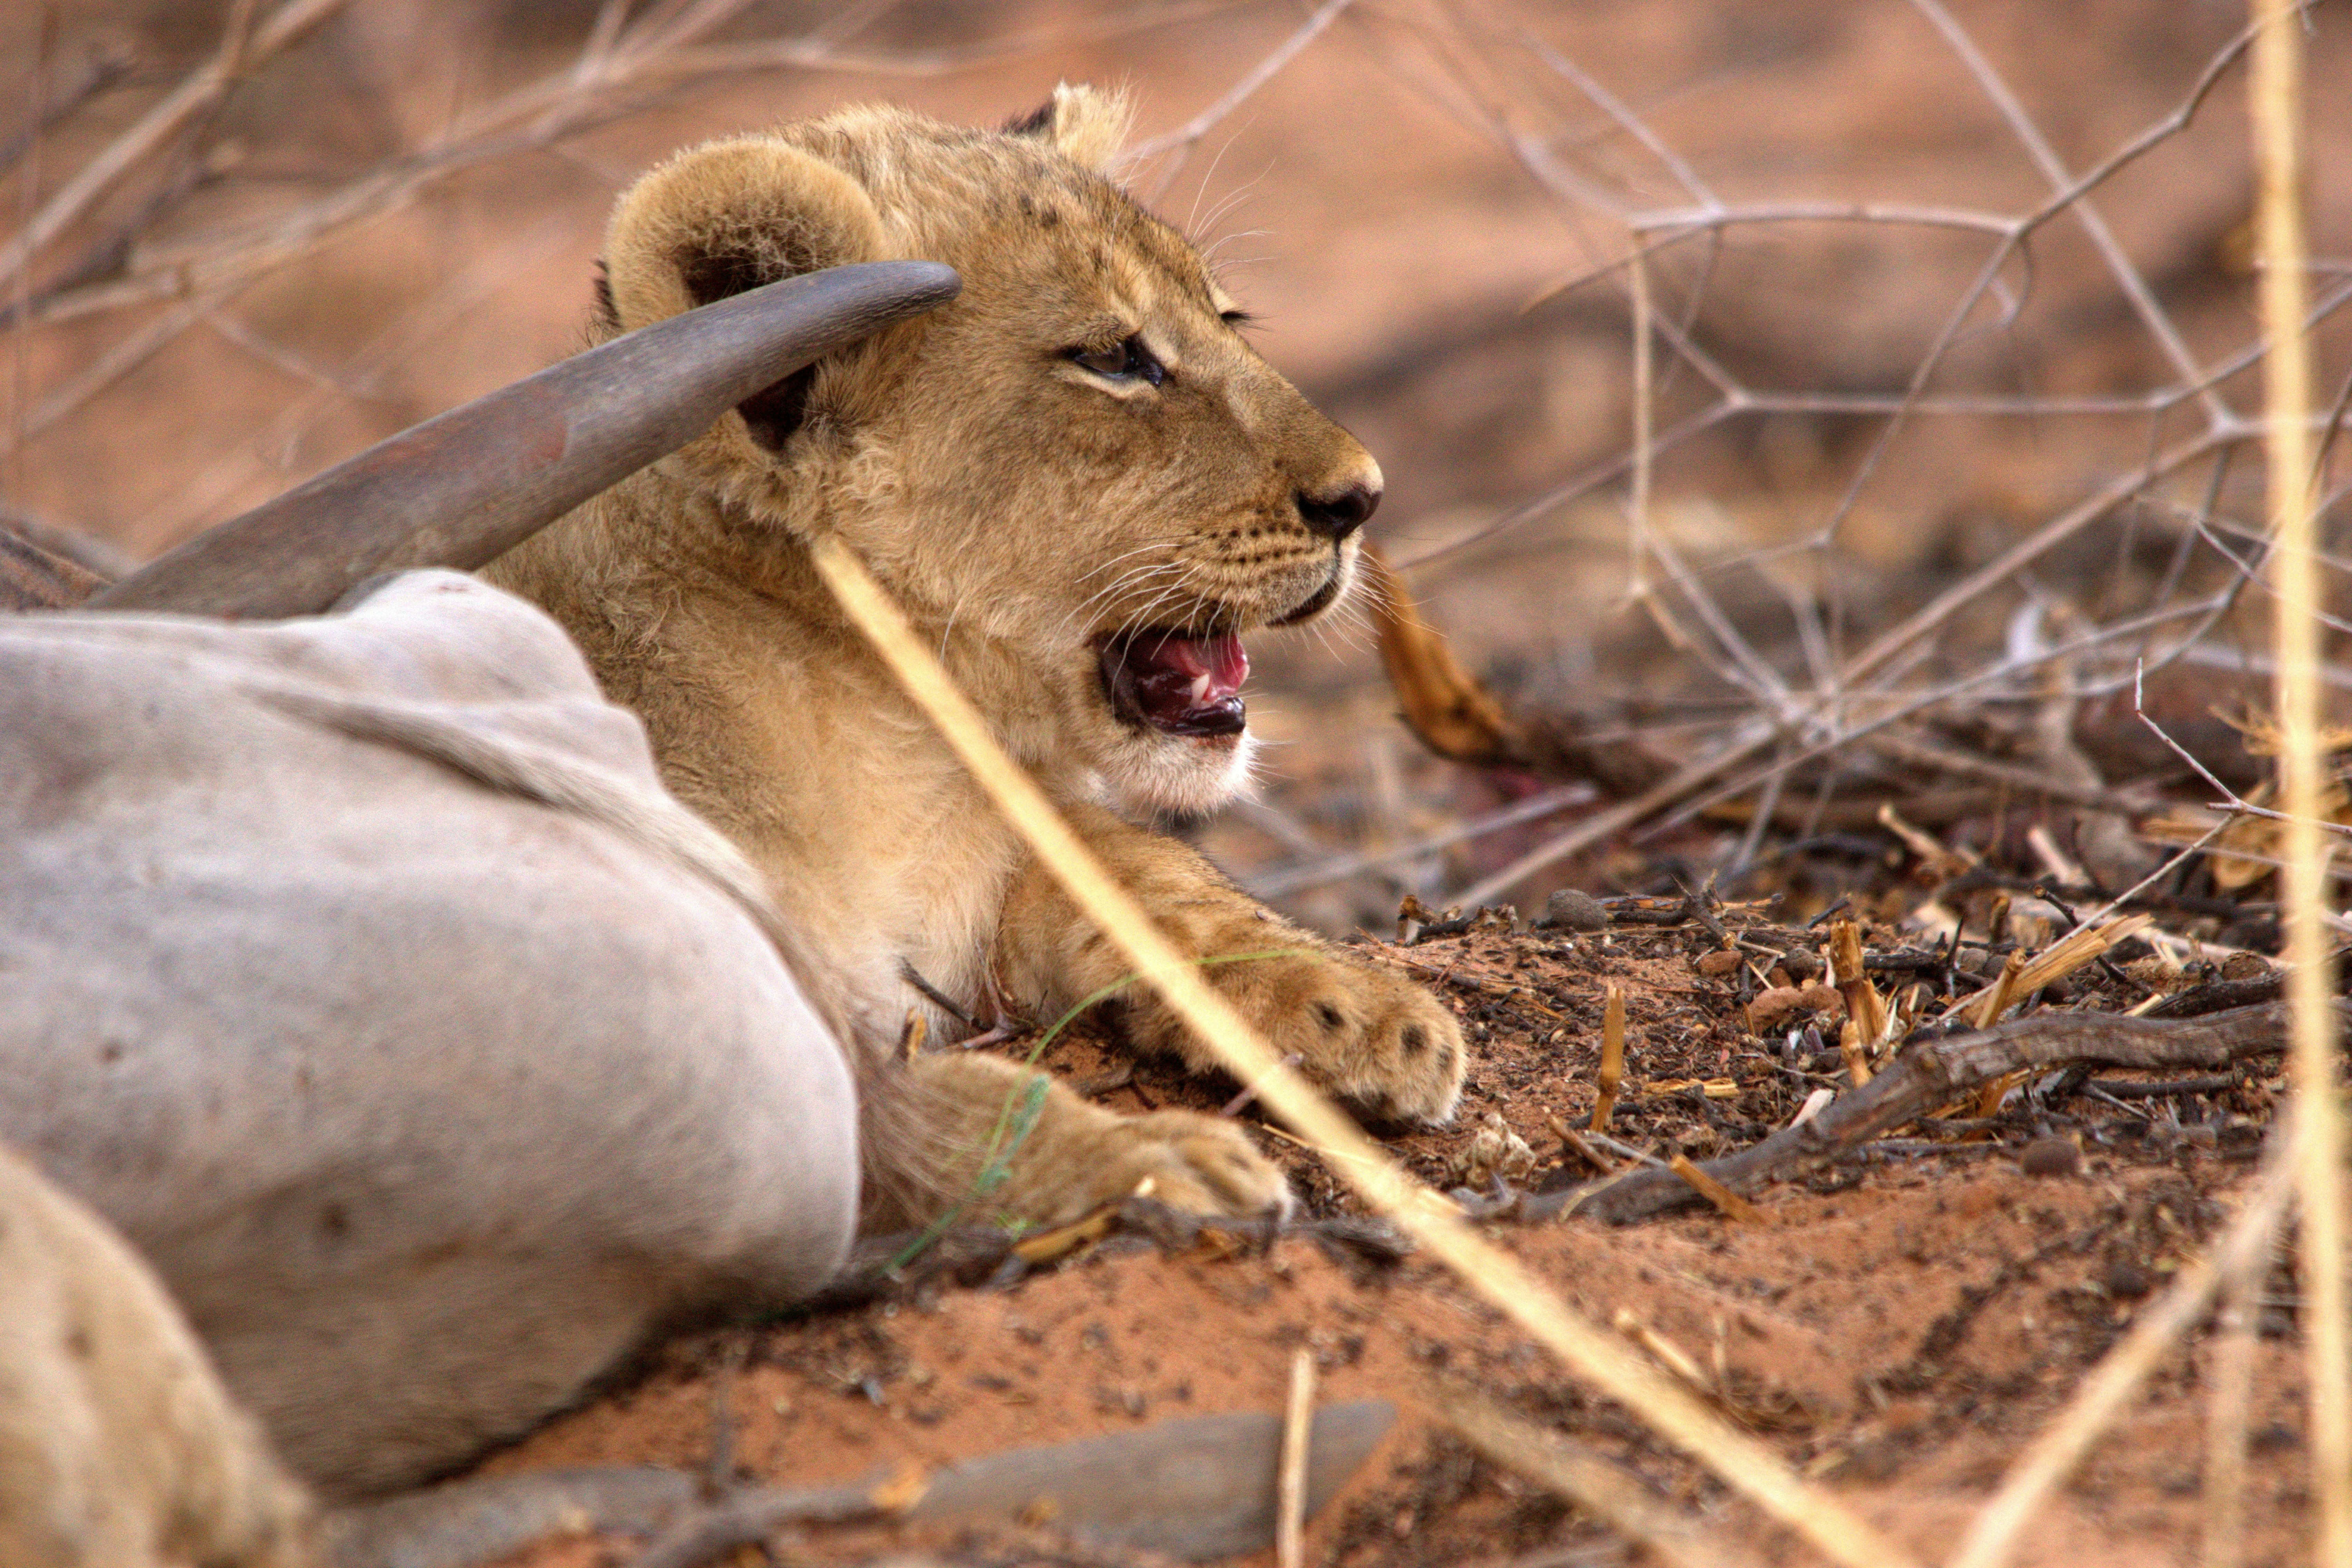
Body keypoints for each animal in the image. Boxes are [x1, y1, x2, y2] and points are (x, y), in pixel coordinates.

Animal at [487, 83, 1467, 1228]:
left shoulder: (996, 848)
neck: (885, 732)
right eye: (1114, 359)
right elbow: (929, 1112)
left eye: (1228, 321)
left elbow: (1137, 866)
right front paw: (1152, 1160)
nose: (1364, 498)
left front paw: (1363, 1008)